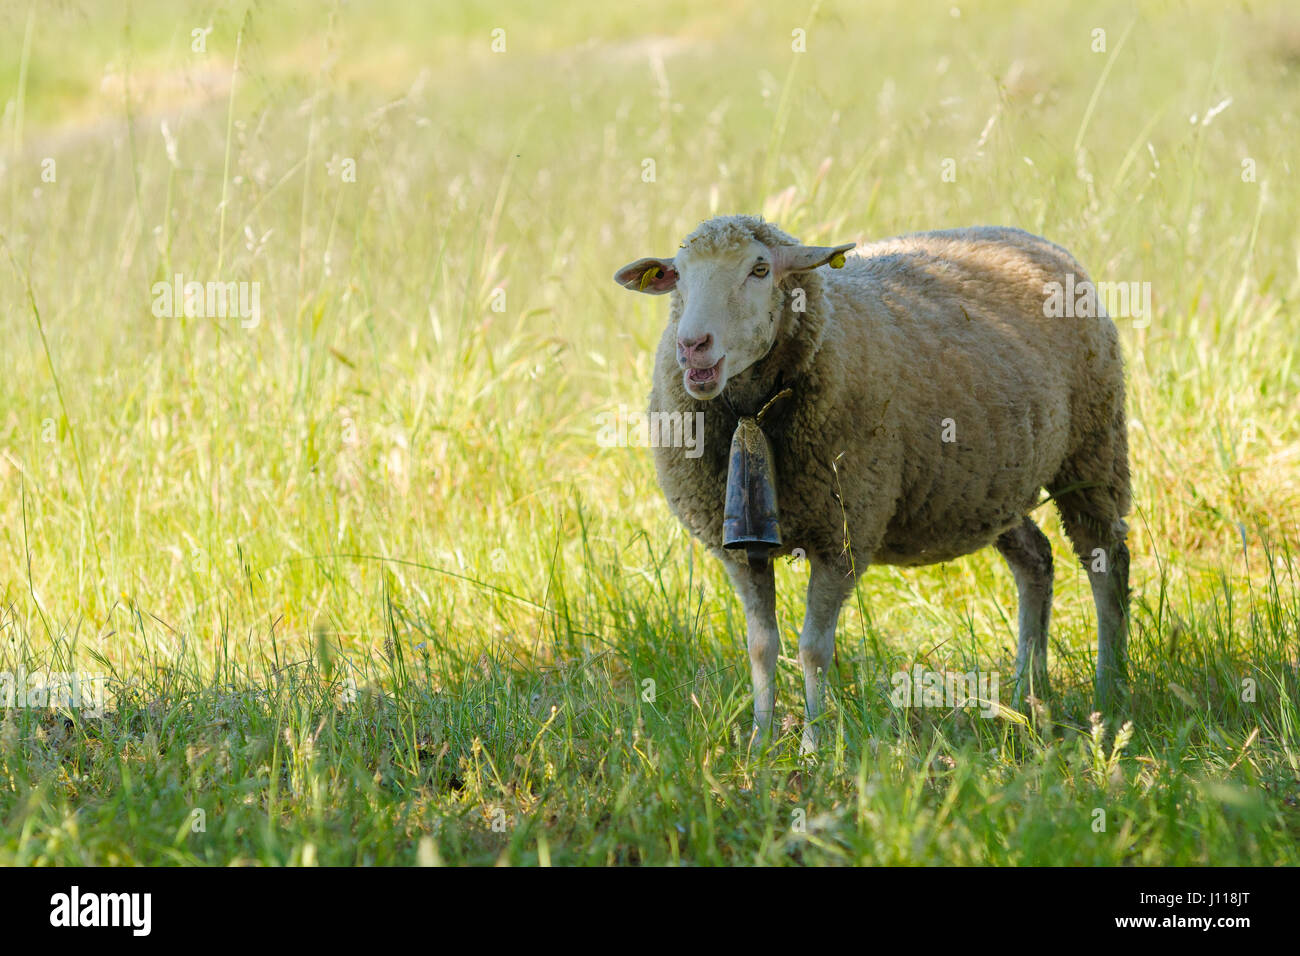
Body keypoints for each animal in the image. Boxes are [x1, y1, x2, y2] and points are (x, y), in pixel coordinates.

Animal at [614, 215, 1131, 750]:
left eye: (759, 269)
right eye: (679, 274)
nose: (692, 346)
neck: (753, 414)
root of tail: (1025, 235)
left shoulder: (843, 536)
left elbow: (812, 648)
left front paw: (814, 743)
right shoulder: (741, 546)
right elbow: (760, 646)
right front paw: (759, 742)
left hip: (1093, 447)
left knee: (1107, 563)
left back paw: (1108, 688)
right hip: (988, 488)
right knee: (1036, 559)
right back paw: (1027, 692)